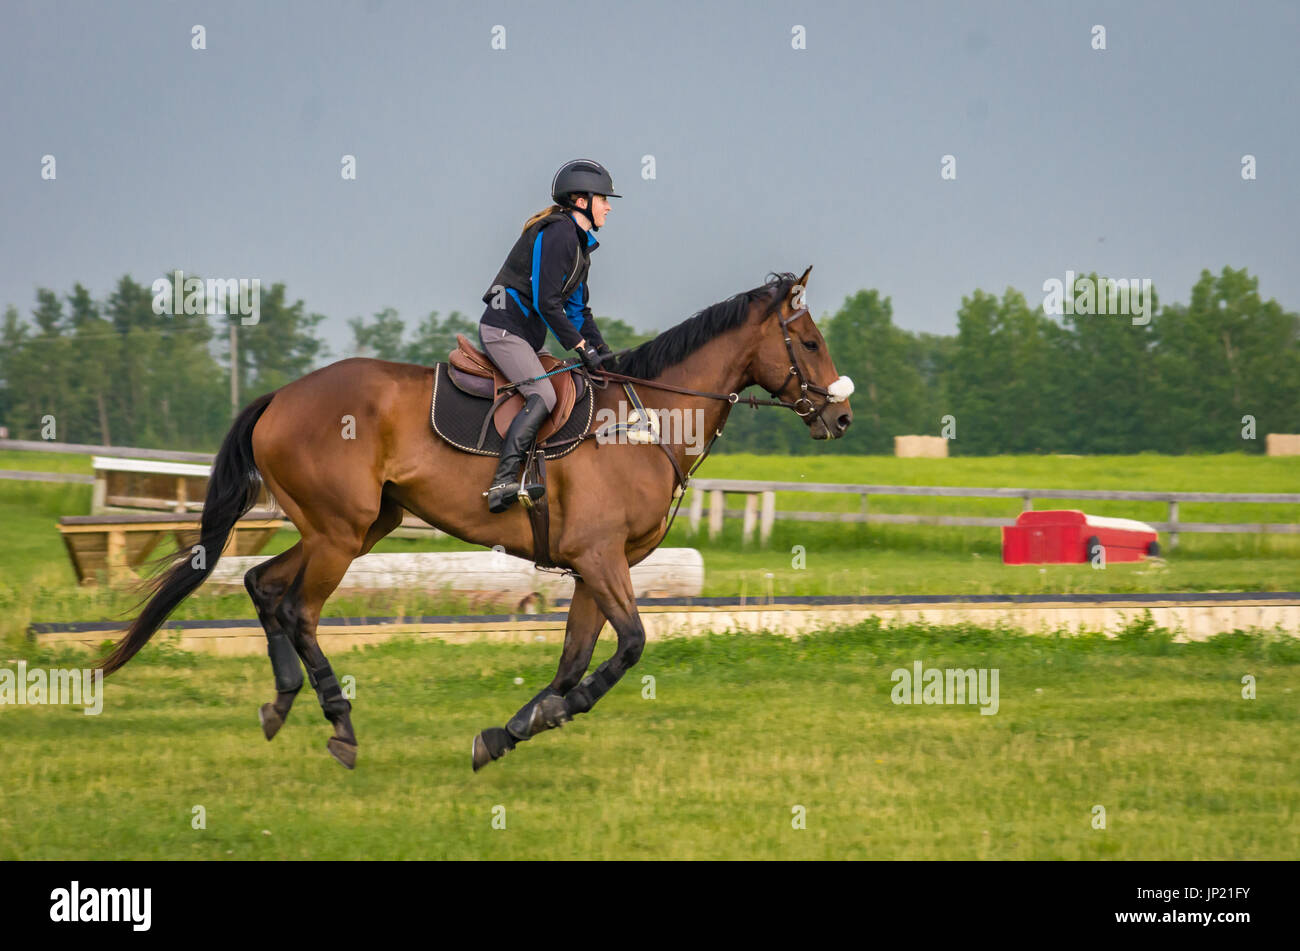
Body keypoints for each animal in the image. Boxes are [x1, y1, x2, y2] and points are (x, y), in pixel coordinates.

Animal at [96, 267, 854, 770]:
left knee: (262, 584)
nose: (841, 417)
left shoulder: (591, 567)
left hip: (353, 528)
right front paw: (534, 720)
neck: (647, 422)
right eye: (811, 341)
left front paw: (509, 731)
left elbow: (574, 662)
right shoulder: (600, 558)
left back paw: (281, 703)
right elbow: (631, 646)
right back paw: (341, 727)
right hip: (339, 534)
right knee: (298, 609)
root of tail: (281, 395)